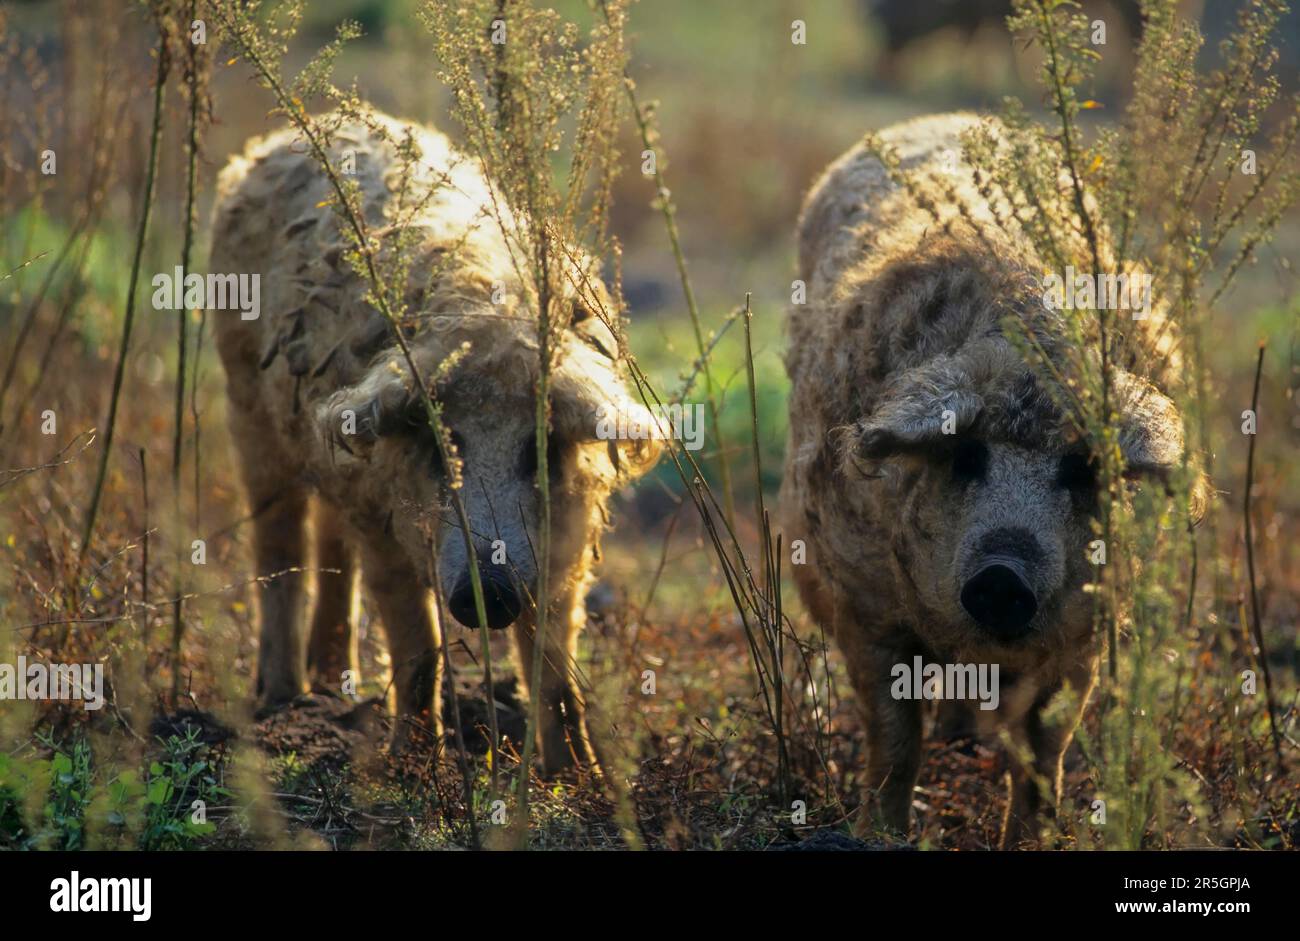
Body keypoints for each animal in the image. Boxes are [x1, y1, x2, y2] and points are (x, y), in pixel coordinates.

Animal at [209, 109, 658, 770]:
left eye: (538, 448)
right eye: (443, 446)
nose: (488, 593)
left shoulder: (570, 531)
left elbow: (554, 659)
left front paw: (580, 778)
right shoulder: (383, 513)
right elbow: (416, 642)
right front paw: (413, 772)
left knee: (331, 543)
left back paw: (334, 687)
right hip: (244, 398)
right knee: (279, 541)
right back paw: (284, 701)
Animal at [781, 113, 1202, 845]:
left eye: (1081, 467)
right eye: (966, 457)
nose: (1003, 573)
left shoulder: (1090, 624)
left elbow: (1044, 748)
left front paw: (1030, 835)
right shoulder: (860, 600)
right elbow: (893, 735)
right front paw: (881, 831)